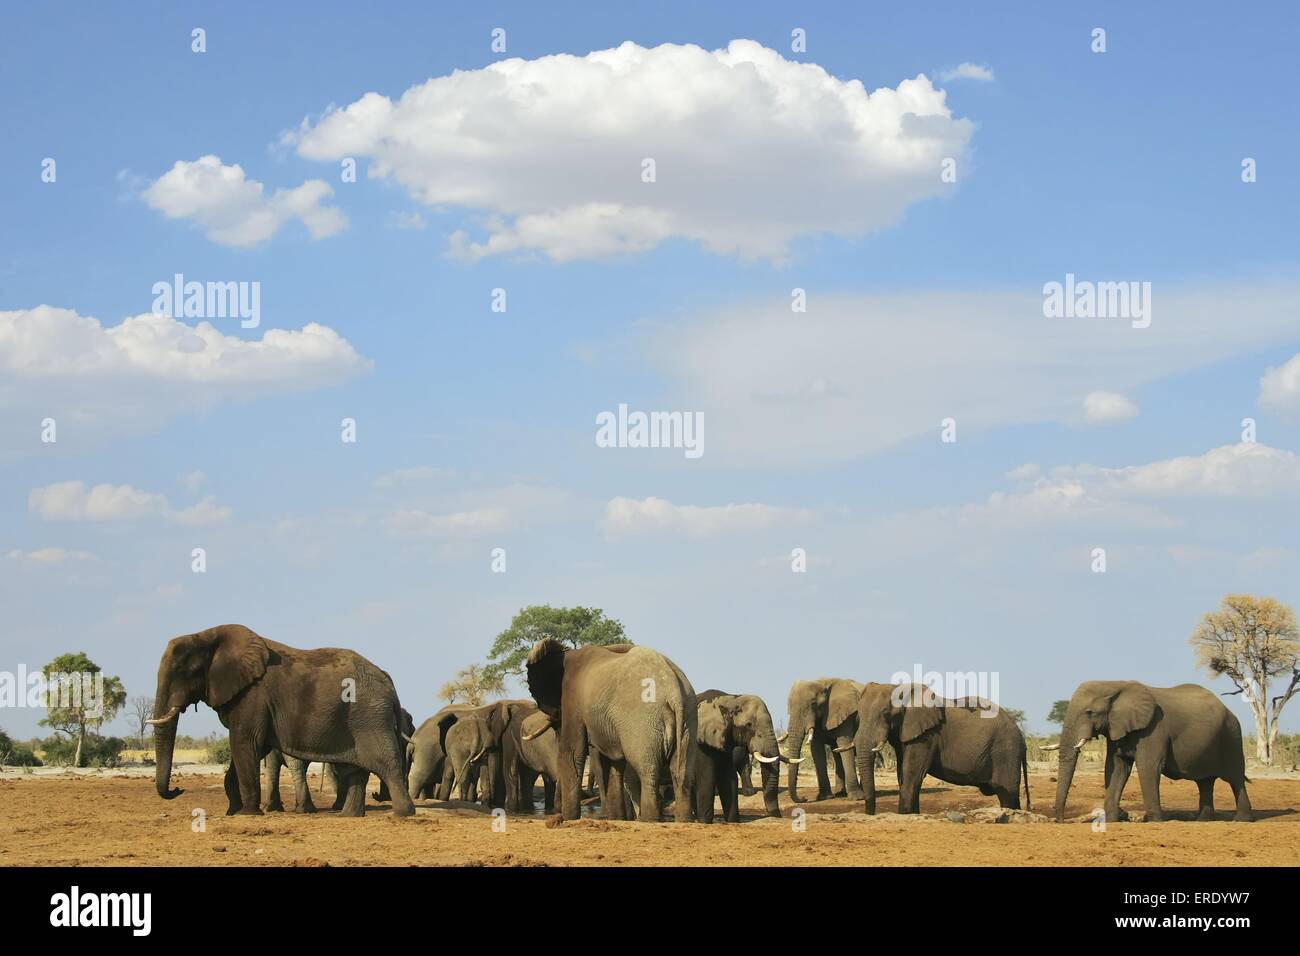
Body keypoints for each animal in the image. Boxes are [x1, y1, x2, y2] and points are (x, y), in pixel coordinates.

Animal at [147, 623, 414, 817]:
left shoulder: (253, 695)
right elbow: (247, 749)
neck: (207, 635)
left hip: (370, 716)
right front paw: (232, 812)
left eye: (182, 671)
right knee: (356, 769)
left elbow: (245, 743)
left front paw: (247, 814)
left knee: (385, 761)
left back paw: (402, 814)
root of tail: (387, 678)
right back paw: (348, 816)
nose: (177, 789)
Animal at [525, 638, 697, 822]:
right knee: (682, 772)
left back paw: (648, 819)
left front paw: (568, 818)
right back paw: (683, 820)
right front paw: (616, 818)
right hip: (689, 719)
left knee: (647, 770)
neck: (565, 651)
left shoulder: (572, 699)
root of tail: (674, 691)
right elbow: (614, 763)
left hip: (643, 721)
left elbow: (571, 753)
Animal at [694, 689, 788, 821]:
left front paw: (733, 821)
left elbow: (729, 776)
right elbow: (707, 775)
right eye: (749, 724)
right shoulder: (701, 741)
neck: (730, 699)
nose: (777, 816)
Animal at [852, 682, 1030, 814]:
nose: (870, 813)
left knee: (1007, 794)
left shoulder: (927, 736)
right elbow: (902, 774)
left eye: (886, 713)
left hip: (1006, 750)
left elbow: (912, 774)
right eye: (858, 715)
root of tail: (1021, 736)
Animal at [1049, 681, 1253, 824]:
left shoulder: (1154, 728)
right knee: (1205, 782)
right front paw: (1112, 820)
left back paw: (1241, 820)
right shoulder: (1117, 728)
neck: (1115, 684)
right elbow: (1116, 767)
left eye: (1089, 712)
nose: (1061, 820)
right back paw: (1202, 821)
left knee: (1235, 778)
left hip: (1232, 735)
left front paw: (1156, 821)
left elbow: (1148, 766)